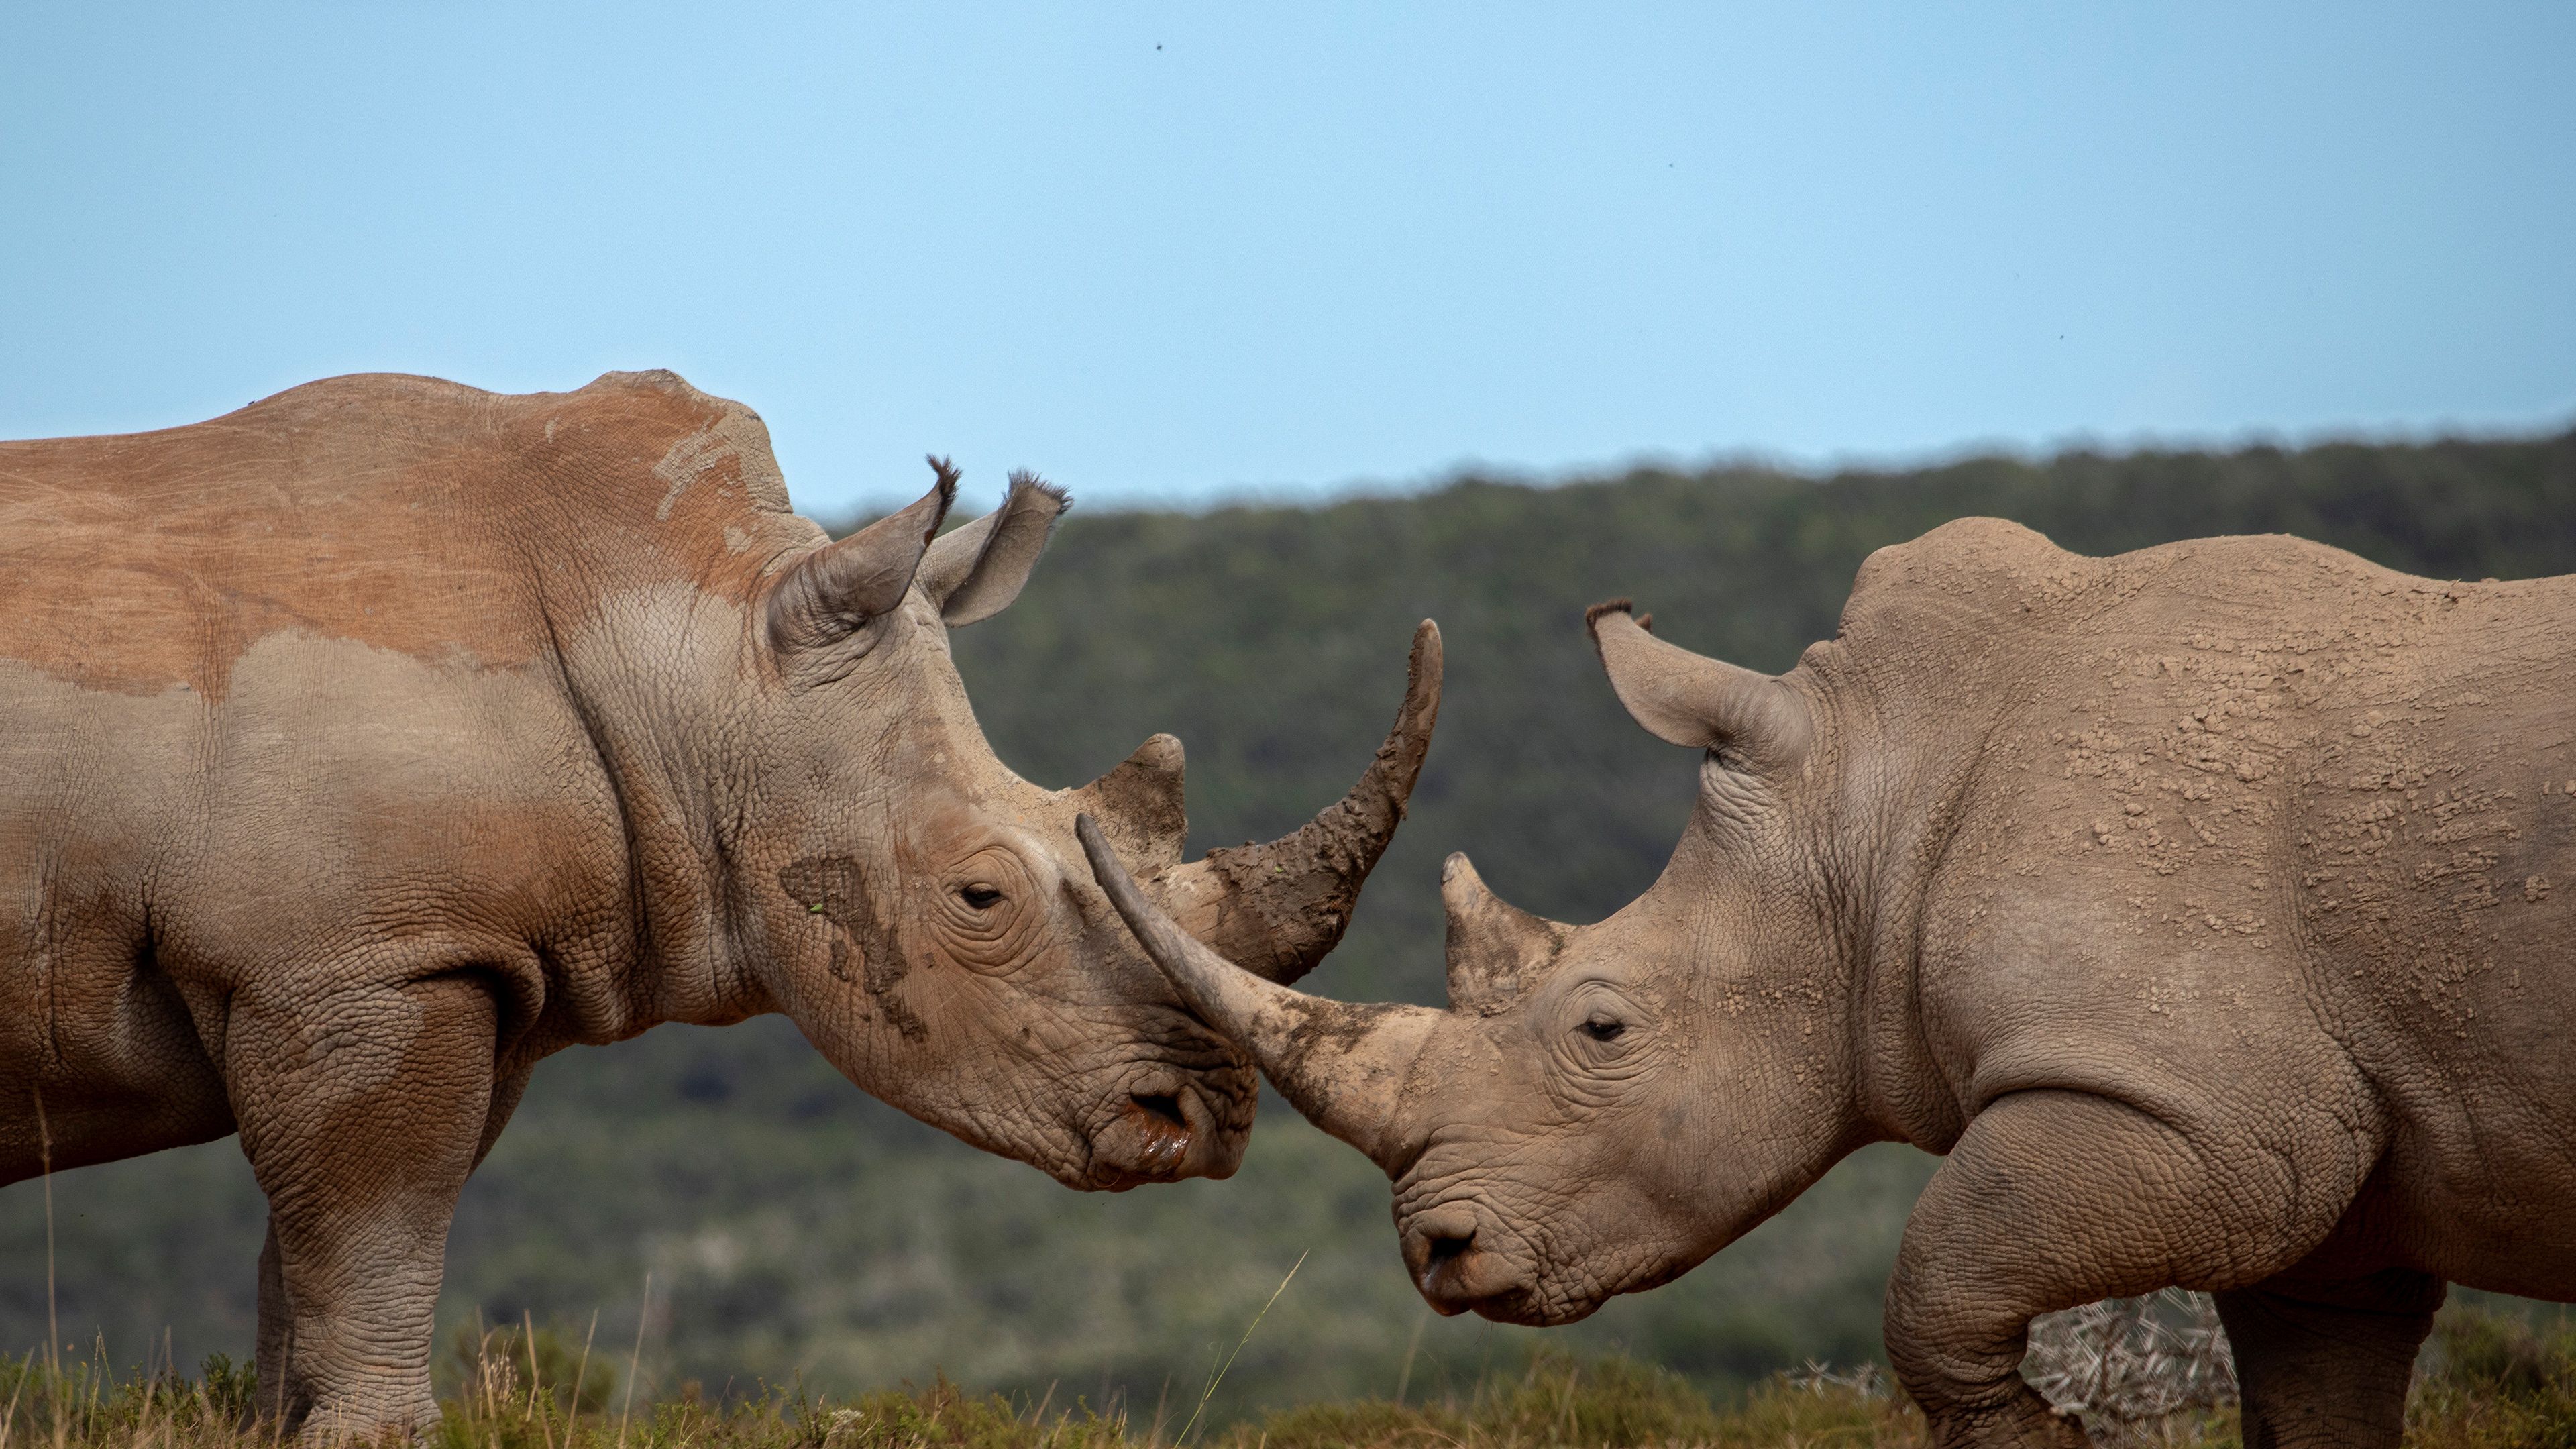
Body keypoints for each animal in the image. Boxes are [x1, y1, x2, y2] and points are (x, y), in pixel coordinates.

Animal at [0, 370, 1441, 1439]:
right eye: (980, 896)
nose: (1206, 1123)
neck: (696, 649)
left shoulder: (429, 964)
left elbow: (312, 1267)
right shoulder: (361, 963)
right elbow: (372, 1238)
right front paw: (374, 1431)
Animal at [1082, 517, 2576, 1449]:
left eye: (1603, 1026)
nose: (1438, 1255)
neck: (1880, 795)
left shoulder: (2211, 1117)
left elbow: (1936, 1281)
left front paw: (2043, 1436)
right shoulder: (2328, 1217)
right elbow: (2317, 1396)